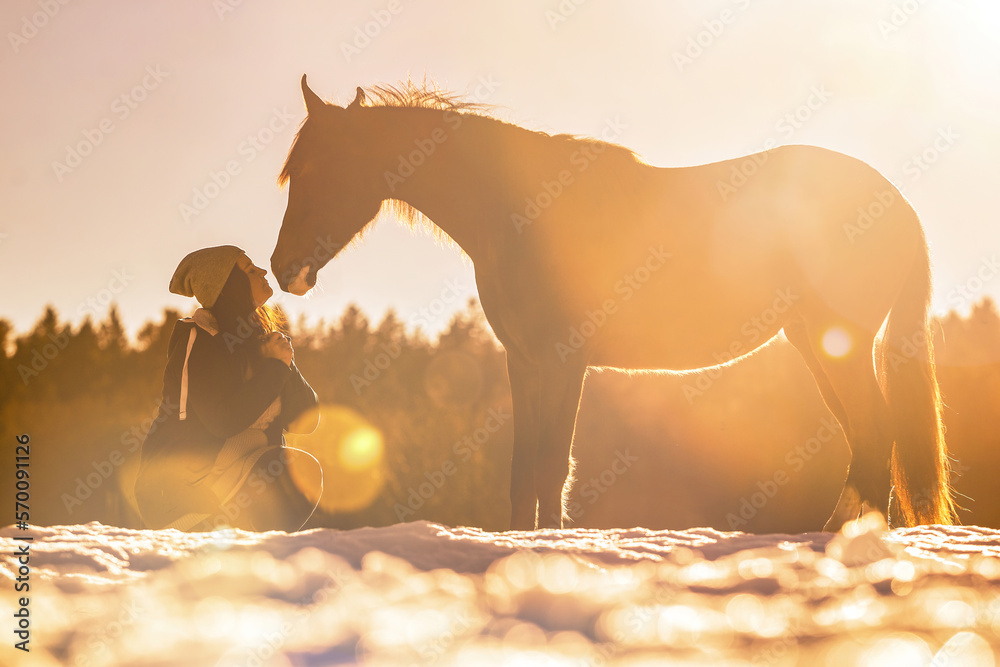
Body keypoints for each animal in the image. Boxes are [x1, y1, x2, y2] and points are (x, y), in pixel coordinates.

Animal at [270, 75, 956, 531]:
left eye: (316, 169)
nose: (284, 269)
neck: (519, 211)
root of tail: (897, 201)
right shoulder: (526, 363)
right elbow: (525, 474)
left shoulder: (563, 360)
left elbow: (551, 468)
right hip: (817, 344)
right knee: (868, 440)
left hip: (838, 343)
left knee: (876, 435)